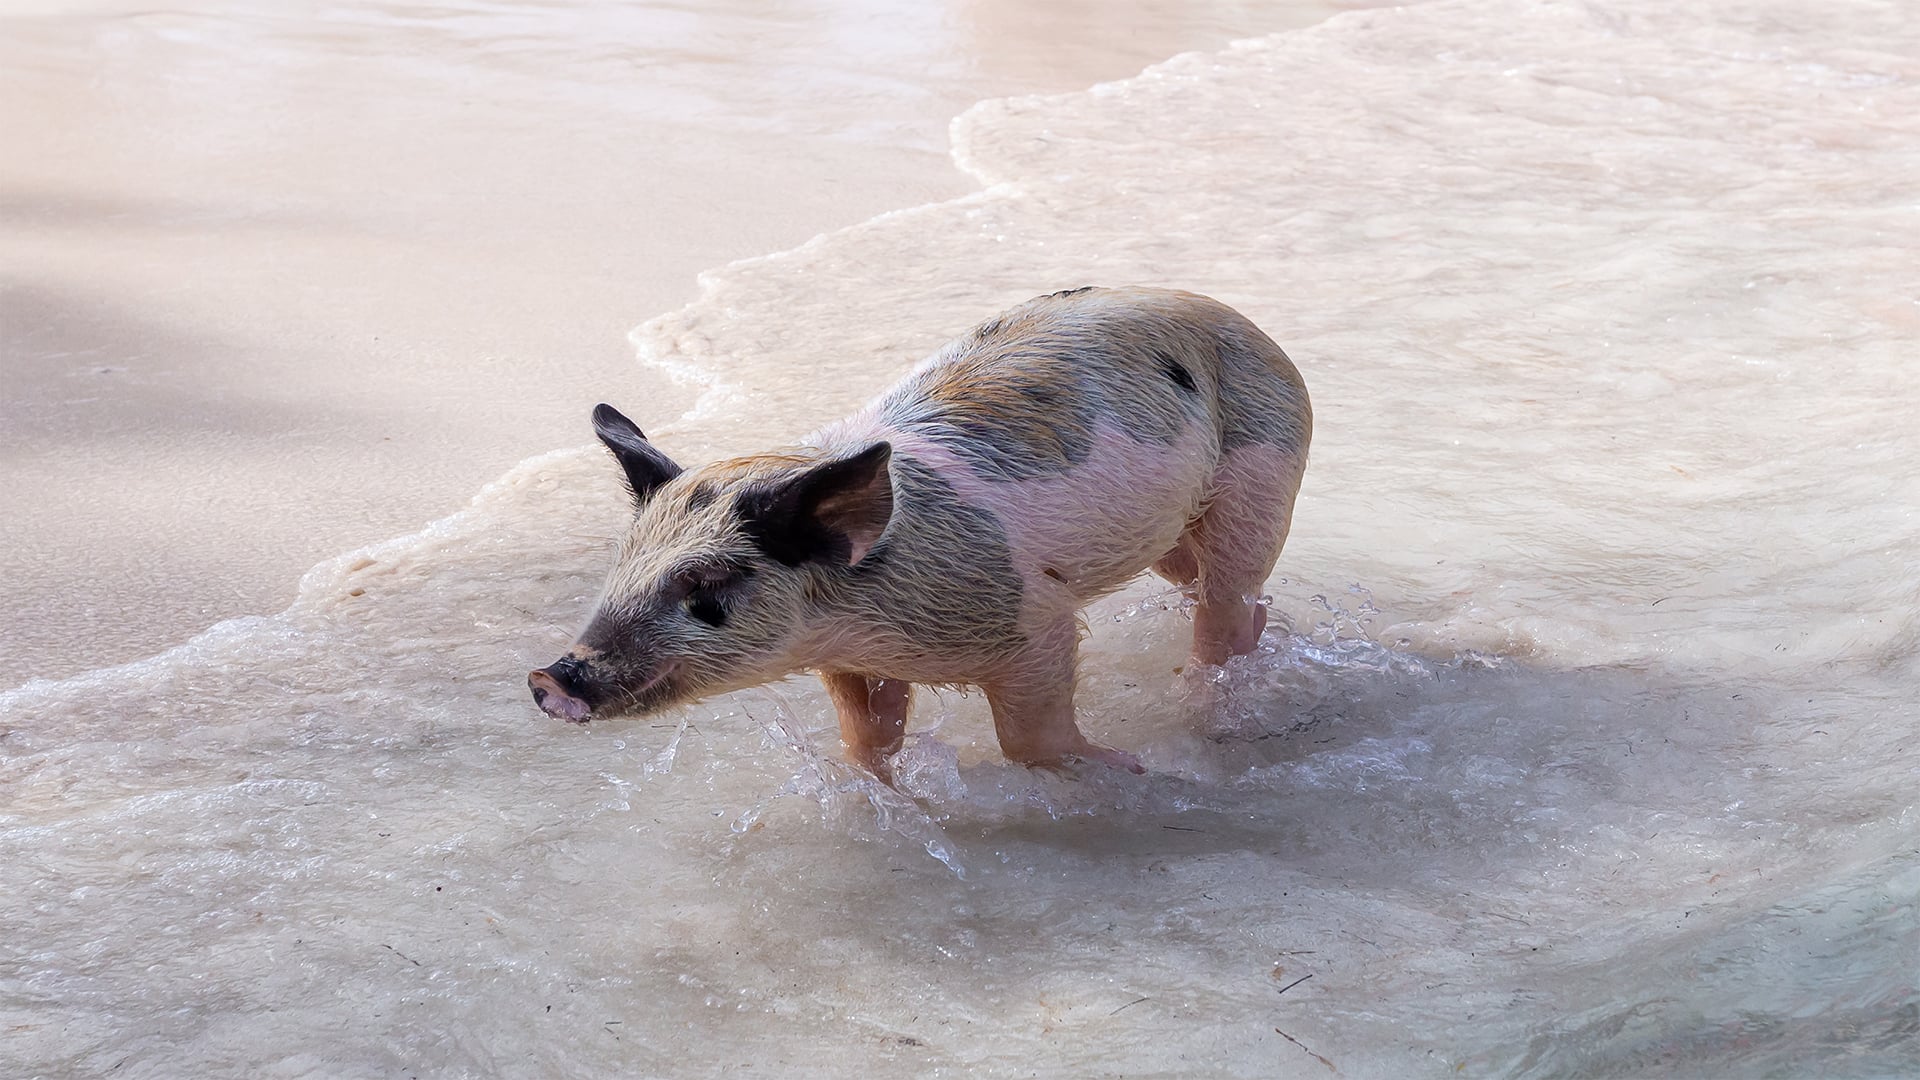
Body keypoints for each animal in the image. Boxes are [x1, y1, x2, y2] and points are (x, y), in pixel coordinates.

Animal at [528, 286, 1310, 778]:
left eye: (707, 585)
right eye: (619, 567)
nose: (552, 676)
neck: (862, 616)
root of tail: (1249, 327)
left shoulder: (1035, 619)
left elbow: (1028, 738)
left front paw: (1130, 767)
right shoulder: (850, 661)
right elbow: (869, 732)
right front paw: (871, 785)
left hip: (1266, 471)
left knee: (1226, 601)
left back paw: (1208, 705)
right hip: (1175, 535)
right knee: (1205, 583)